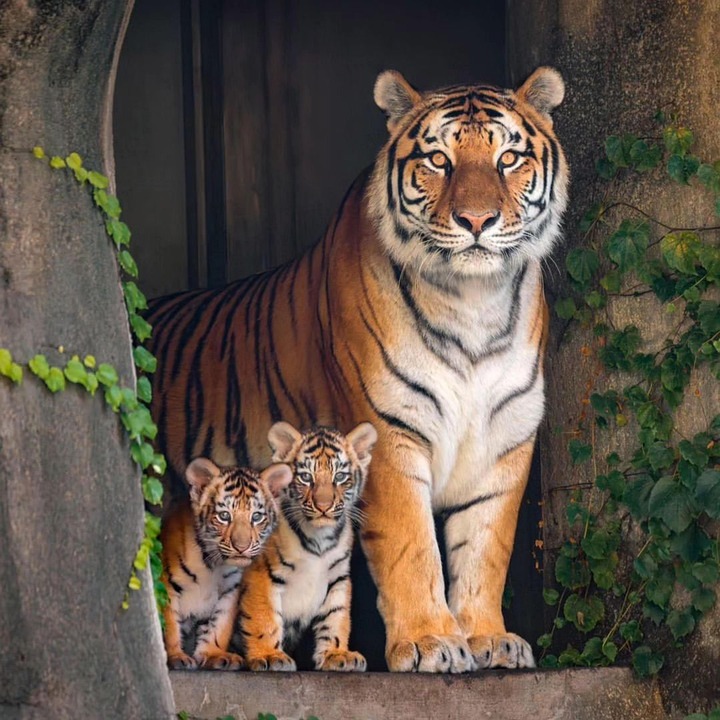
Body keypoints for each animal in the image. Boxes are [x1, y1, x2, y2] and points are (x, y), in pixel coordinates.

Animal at [160, 457, 292, 670]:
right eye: (224, 516)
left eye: (256, 517)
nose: (241, 547)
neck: (213, 564)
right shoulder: (166, 585)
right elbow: (169, 626)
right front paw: (175, 657)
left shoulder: (230, 590)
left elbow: (219, 625)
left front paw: (214, 654)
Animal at [237, 421, 377, 672]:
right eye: (305, 477)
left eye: (340, 476)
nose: (323, 505)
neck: (319, 539)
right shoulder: (260, 573)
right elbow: (264, 617)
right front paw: (269, 656)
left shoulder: (337, 578)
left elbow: (335, 617)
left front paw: (336, 654)